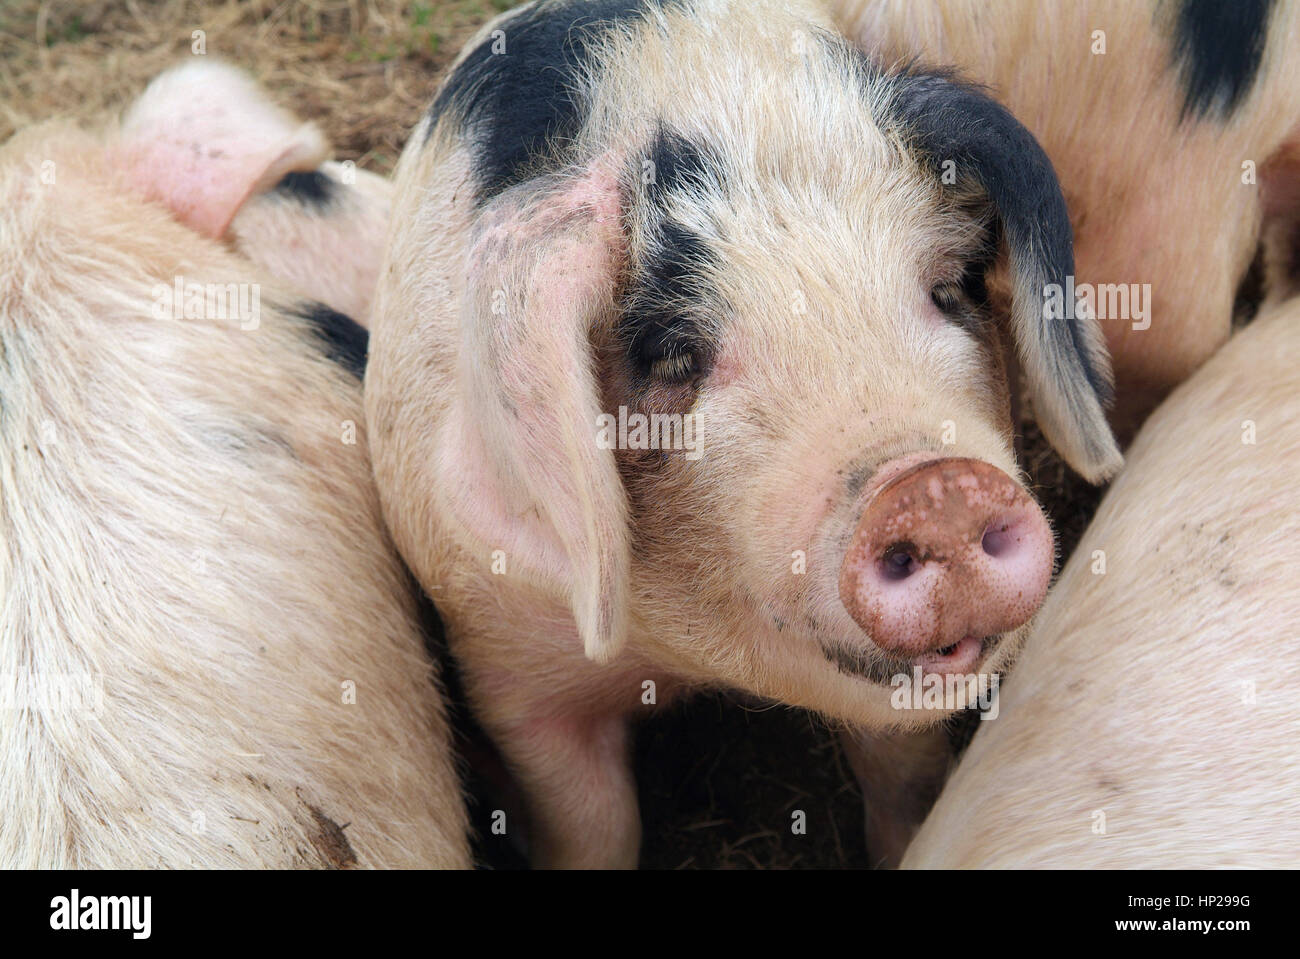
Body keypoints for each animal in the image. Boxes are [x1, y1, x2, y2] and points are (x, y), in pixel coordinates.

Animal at [365, 0, 1122, 867]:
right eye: (675, 353)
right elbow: (594, 827)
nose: (936, 489)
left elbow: (901, 779)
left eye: (946, 287)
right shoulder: (505, 658)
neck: (686, 655)